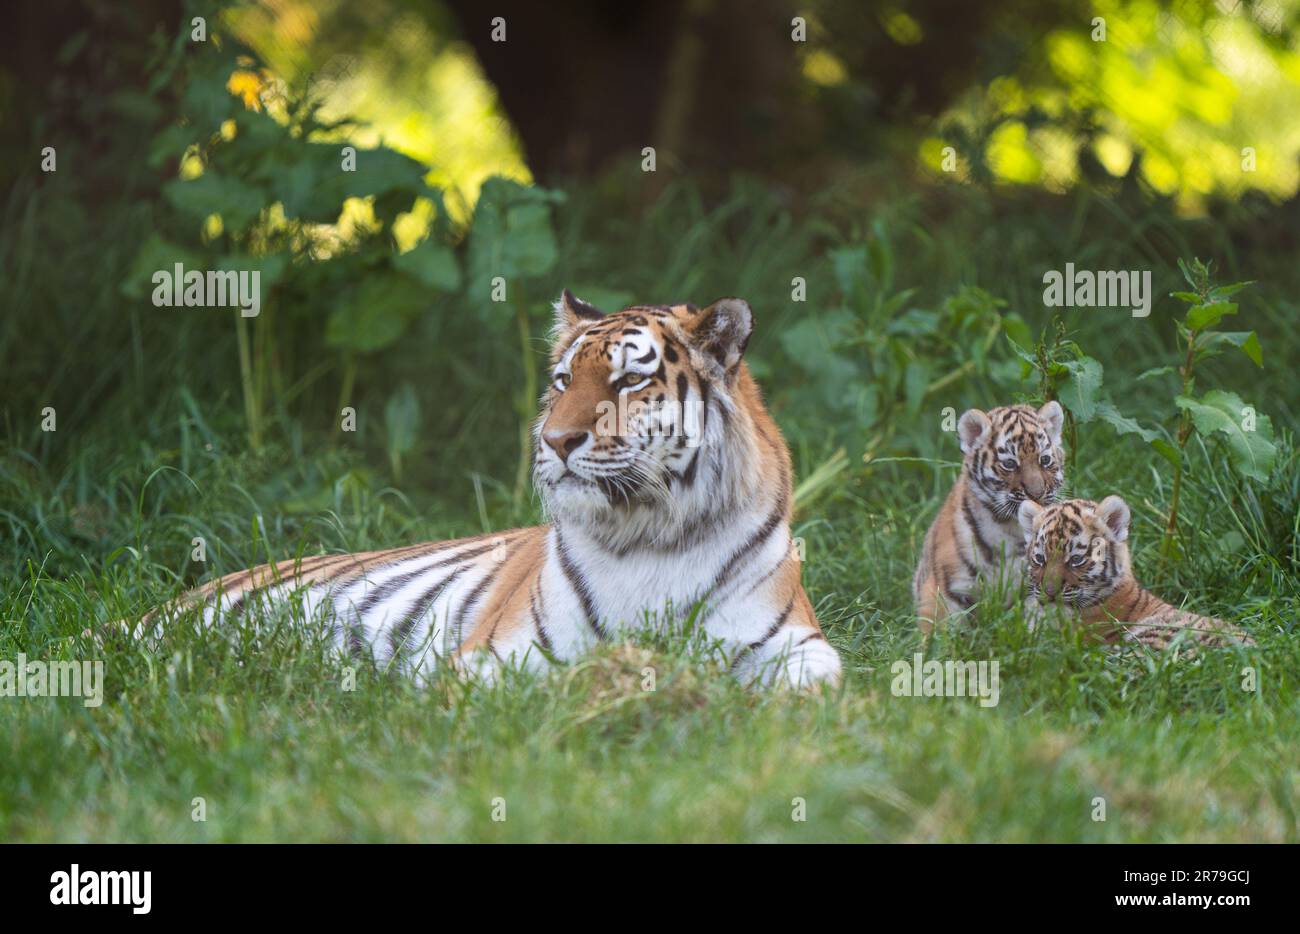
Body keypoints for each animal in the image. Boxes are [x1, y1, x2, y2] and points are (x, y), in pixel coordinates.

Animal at [123, 290, 842, 688]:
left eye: (629, 381)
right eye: (561, 381)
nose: (555, 440)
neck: (650, 532)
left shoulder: (792, 644)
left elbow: (819, 688)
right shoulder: (500, 656)